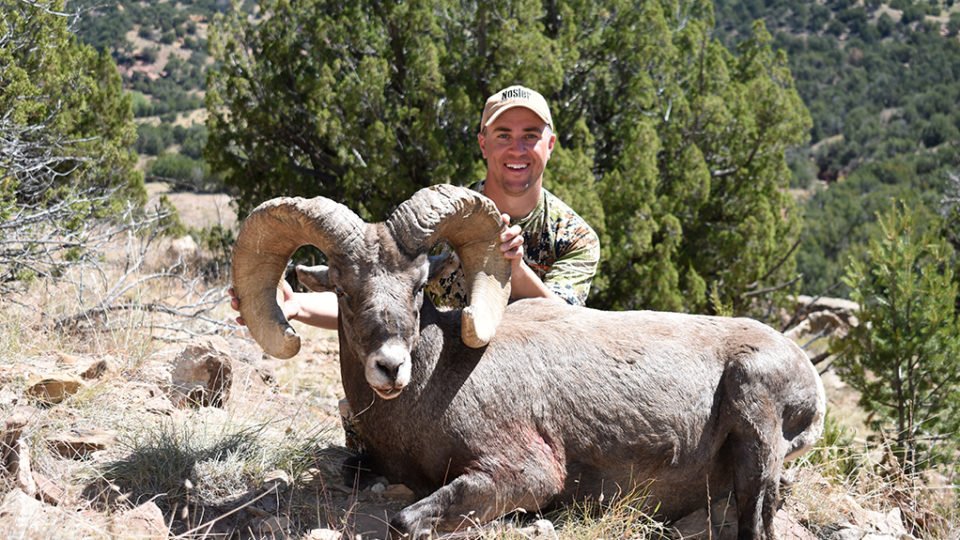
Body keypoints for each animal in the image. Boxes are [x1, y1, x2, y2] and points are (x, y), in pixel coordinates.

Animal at [231, 184, 826, 539]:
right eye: (342, 290)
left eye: (420, 285)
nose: (390, 367)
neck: (435, 387)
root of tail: (809, 382)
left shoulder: (525, 472)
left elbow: (405, 518)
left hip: (753, 404)